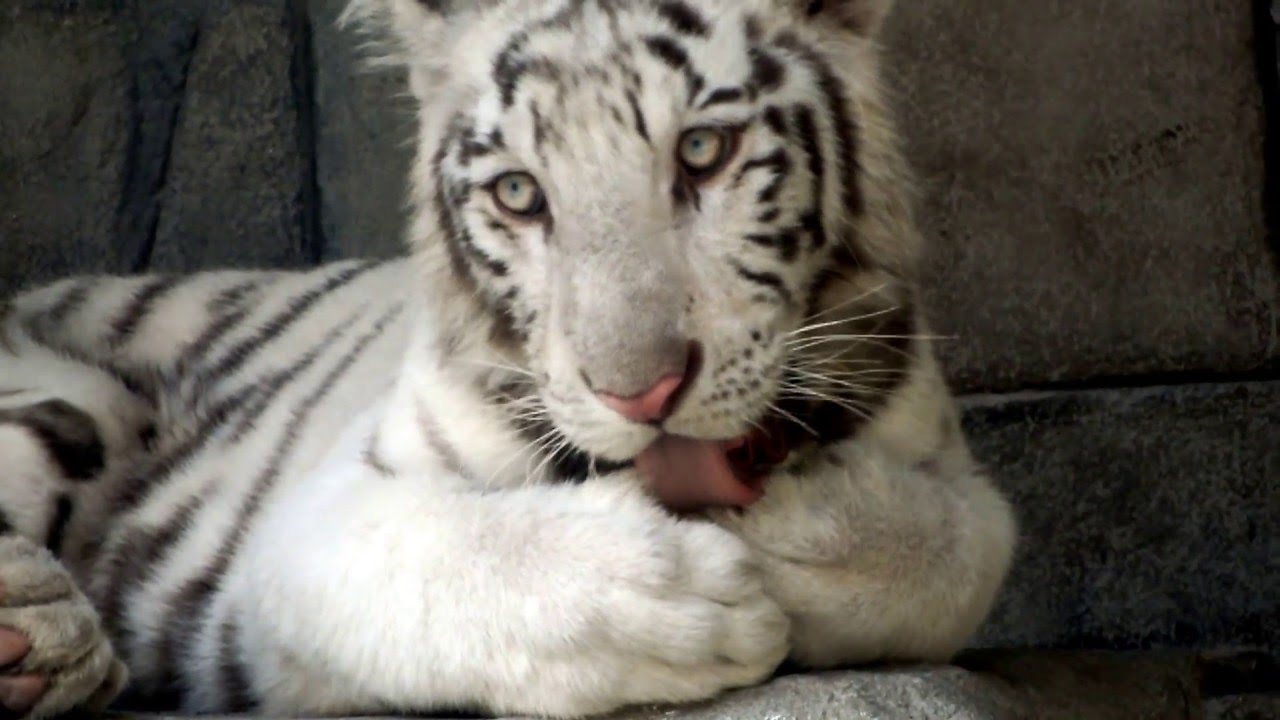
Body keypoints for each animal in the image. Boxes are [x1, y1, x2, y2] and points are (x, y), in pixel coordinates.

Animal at [0, 0, 1017, 717]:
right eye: (521, 194)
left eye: (703, 149)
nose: (642, 394)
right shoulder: (312, 523)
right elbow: (450, 559)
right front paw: (686, 597)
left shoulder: (956, 471)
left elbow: (949, 552)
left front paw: (784, 538)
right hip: (81, 396)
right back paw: (43, 634)